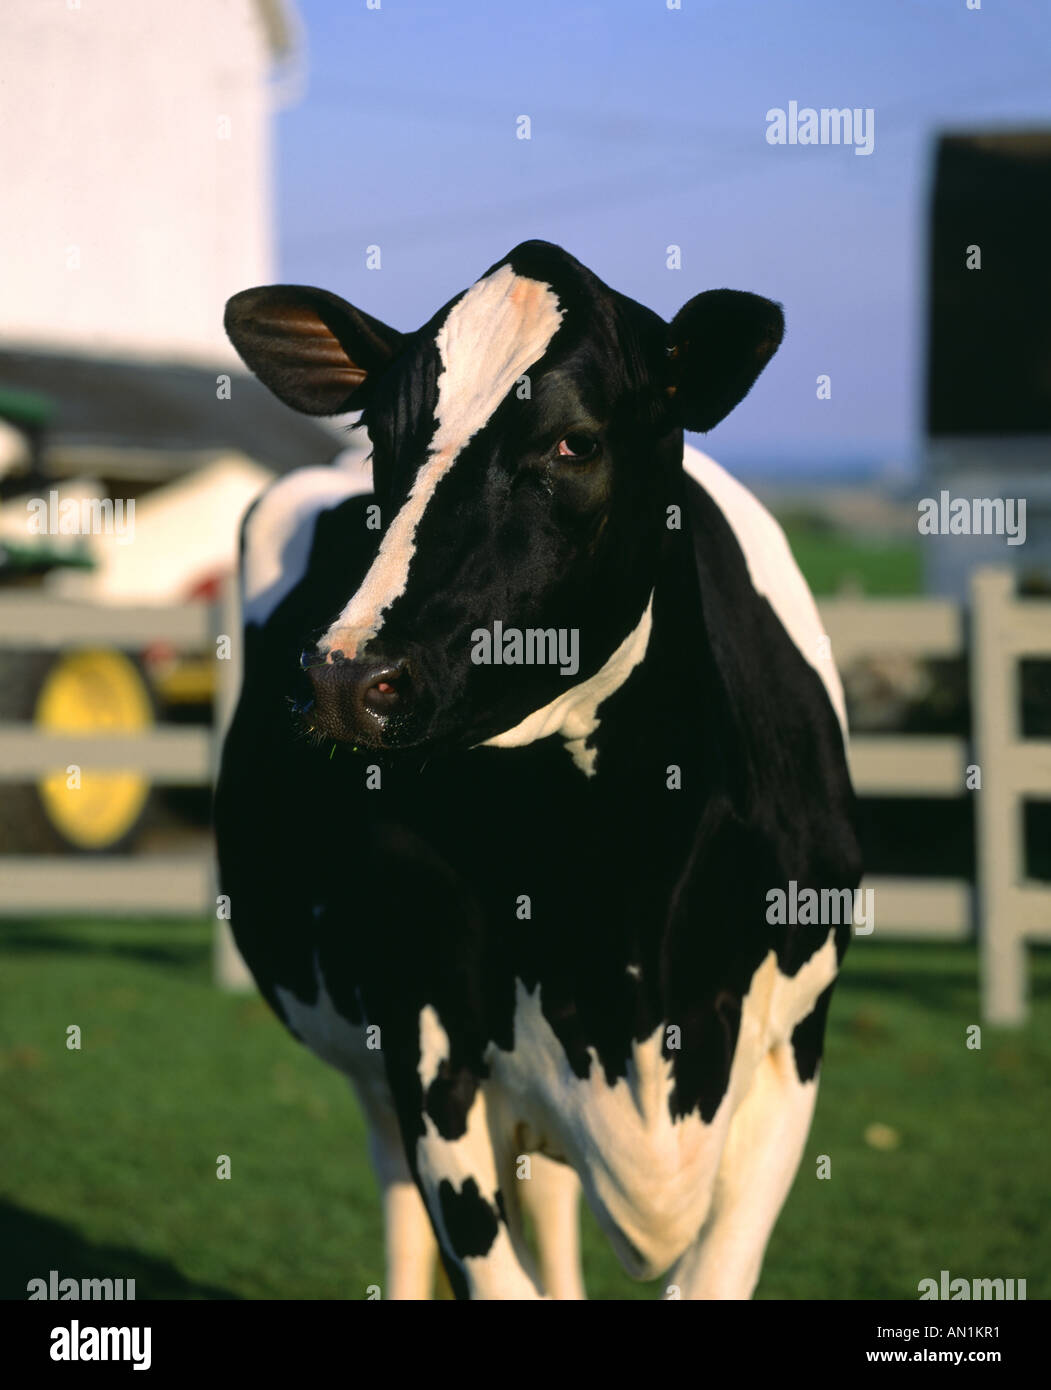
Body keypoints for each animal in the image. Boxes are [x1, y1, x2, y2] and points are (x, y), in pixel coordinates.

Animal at [217, 240, 861, 1300]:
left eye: (575, 444)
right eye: (381, 439)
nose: (347, 677)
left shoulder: (788, 1053)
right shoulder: (424, 1039)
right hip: (379, 1078)